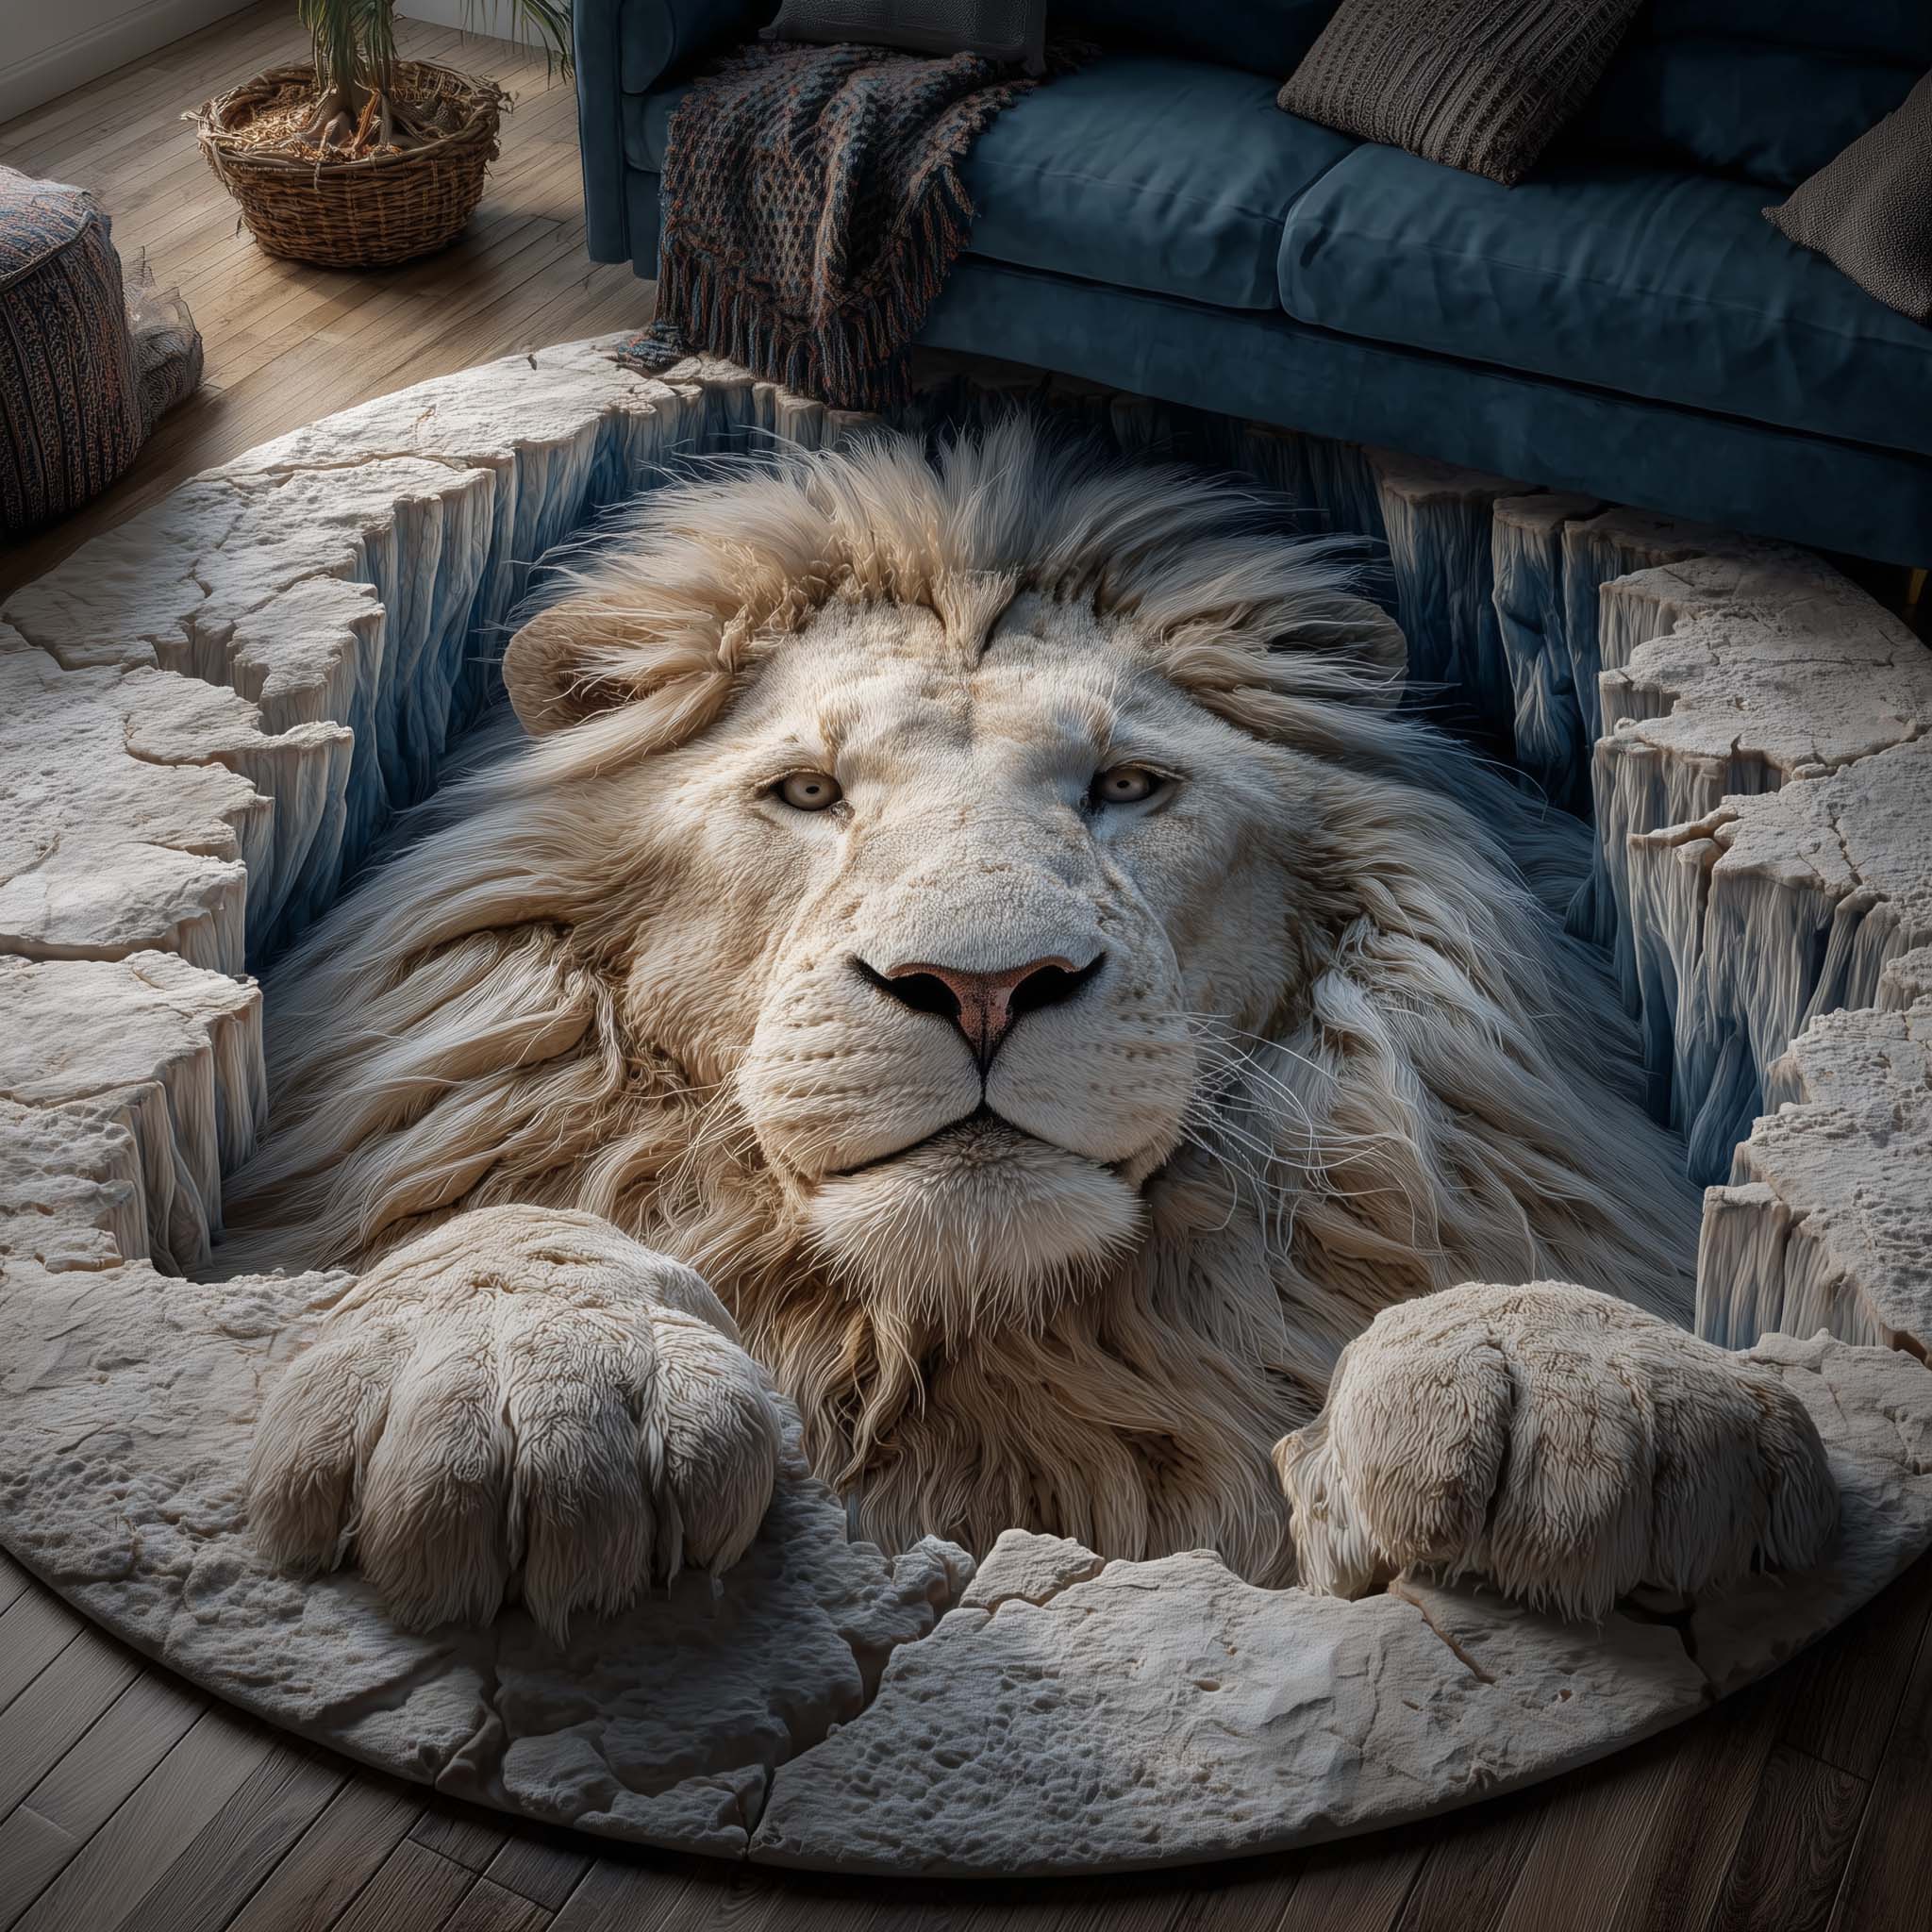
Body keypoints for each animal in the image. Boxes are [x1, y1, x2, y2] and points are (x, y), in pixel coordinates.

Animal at [224, 418, 1707, 1638]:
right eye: (808, 791)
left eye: (1126, 785)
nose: (984, 986)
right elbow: (519, 1215)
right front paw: (526, 1397)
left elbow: (1492, 1231)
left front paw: (1562, 1387)